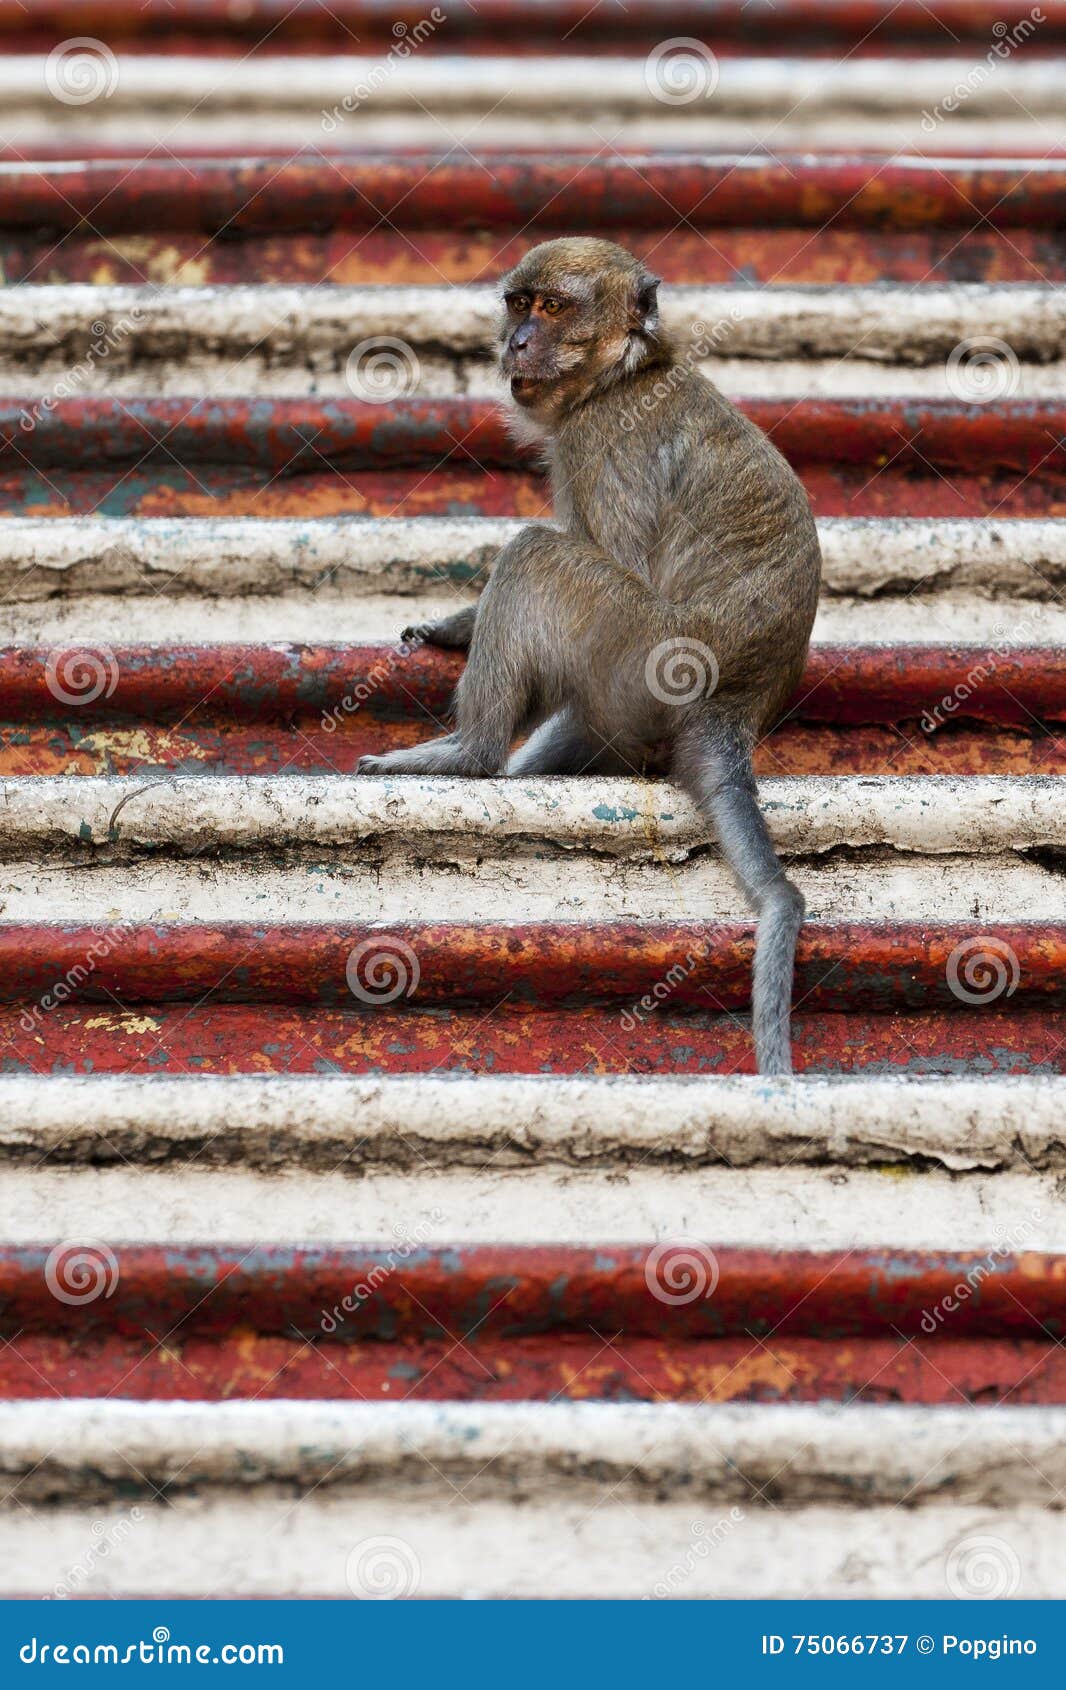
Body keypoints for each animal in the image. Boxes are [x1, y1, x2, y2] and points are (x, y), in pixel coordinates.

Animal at [358, 237, 822, 1074]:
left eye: (551, 308)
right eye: (518, 306)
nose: (516, 343)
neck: (625, 372)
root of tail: (732, 703)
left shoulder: (599, 441)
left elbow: (610, 552)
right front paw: (449, 628)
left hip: (633, 647)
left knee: (536, 554)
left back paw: (466, 755)